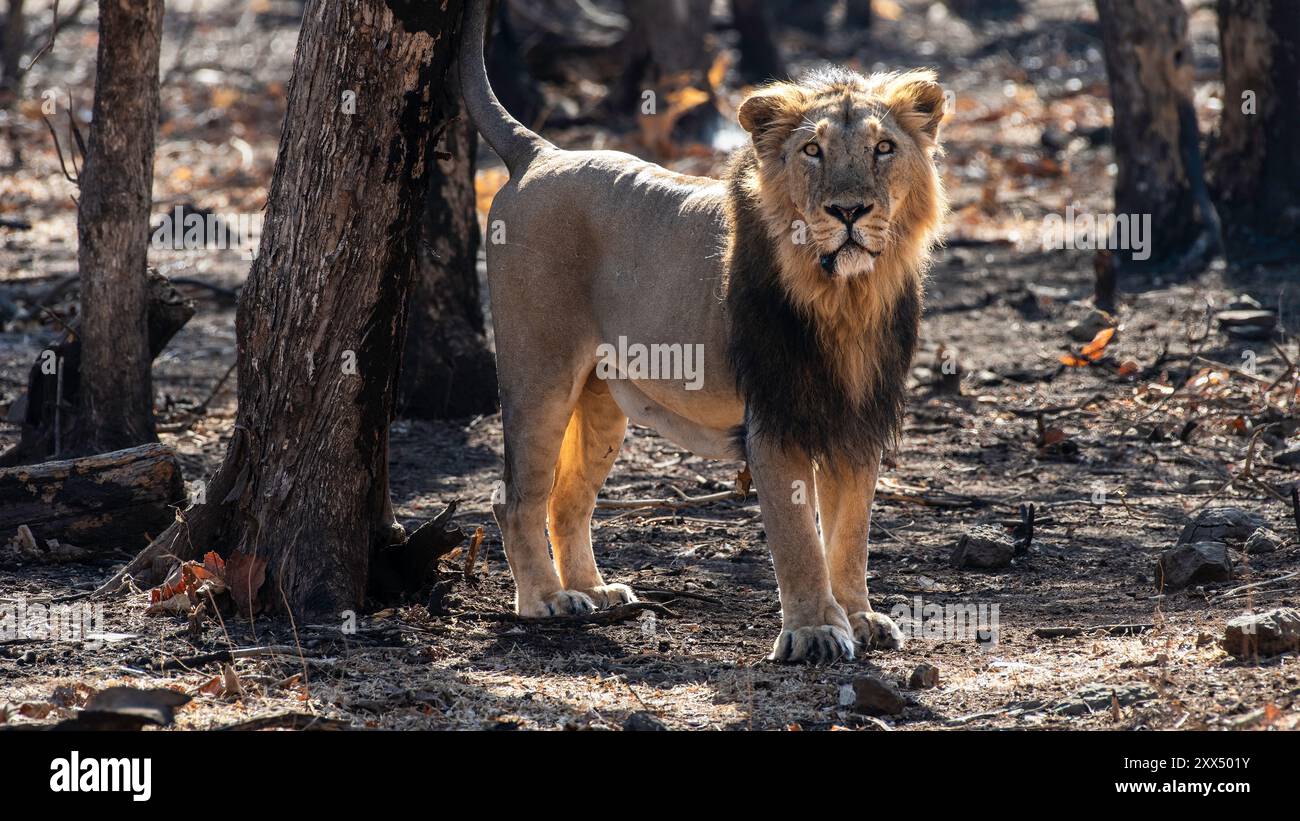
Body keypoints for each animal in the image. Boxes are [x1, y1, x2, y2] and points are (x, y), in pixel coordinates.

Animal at [458, 1, 946, 663]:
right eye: (812, 150)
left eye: (884, 148)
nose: (849, 211)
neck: (845, 297)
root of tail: (539, 153)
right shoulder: (773, 424)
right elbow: (800, 541)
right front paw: (816, 630)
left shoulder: (856, 420)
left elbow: (849, 534)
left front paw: (860, 616)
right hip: (540, 373)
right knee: (514, 497)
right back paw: (547, 600)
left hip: (602, 396)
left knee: (568, 498)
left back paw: (595, 591)